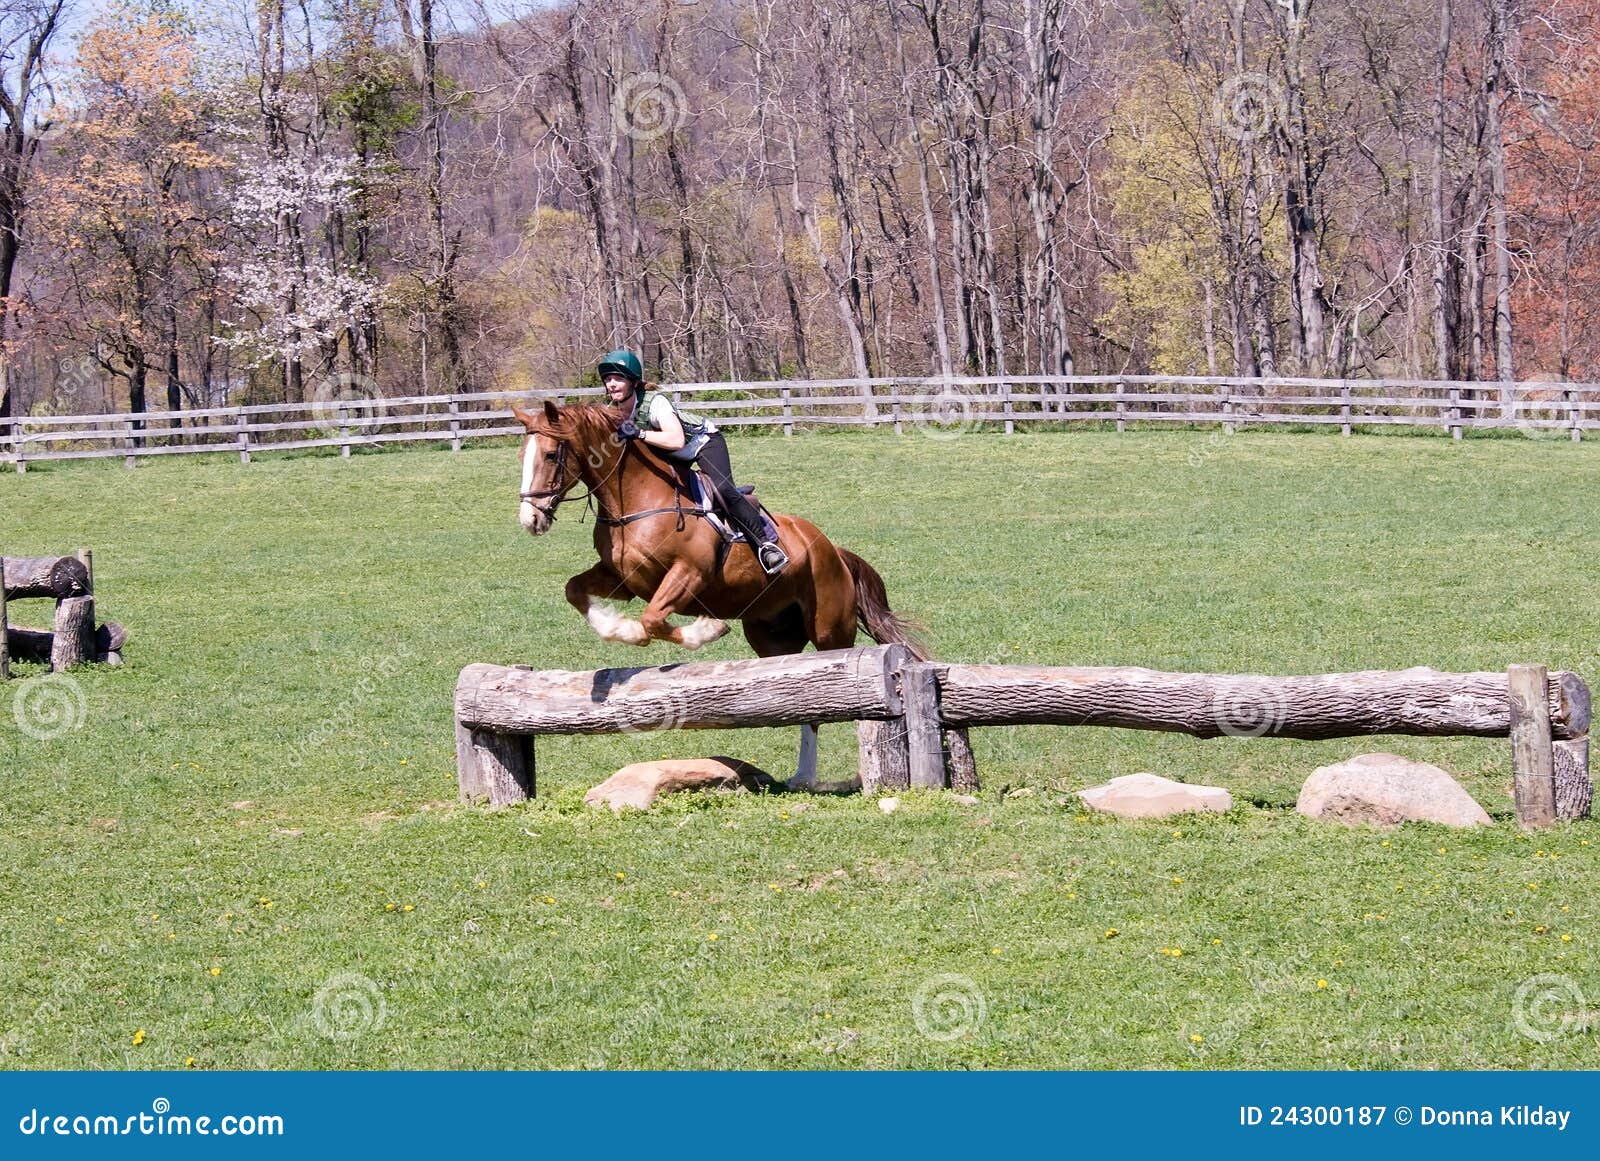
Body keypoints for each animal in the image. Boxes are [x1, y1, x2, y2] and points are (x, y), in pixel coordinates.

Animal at [511, 397, 929, 788]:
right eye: (521, 455)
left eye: (551, 454)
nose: (530, 519)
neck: (634, 498)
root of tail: (834, 551)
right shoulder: (623, 579)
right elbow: (576, 591)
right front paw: (617, 629)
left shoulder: (689, 573)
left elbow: (652, 620)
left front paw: (704, 629)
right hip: (772, 638)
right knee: (805, 702)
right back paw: (803, 775)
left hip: (829, 630)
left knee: (841, 692)